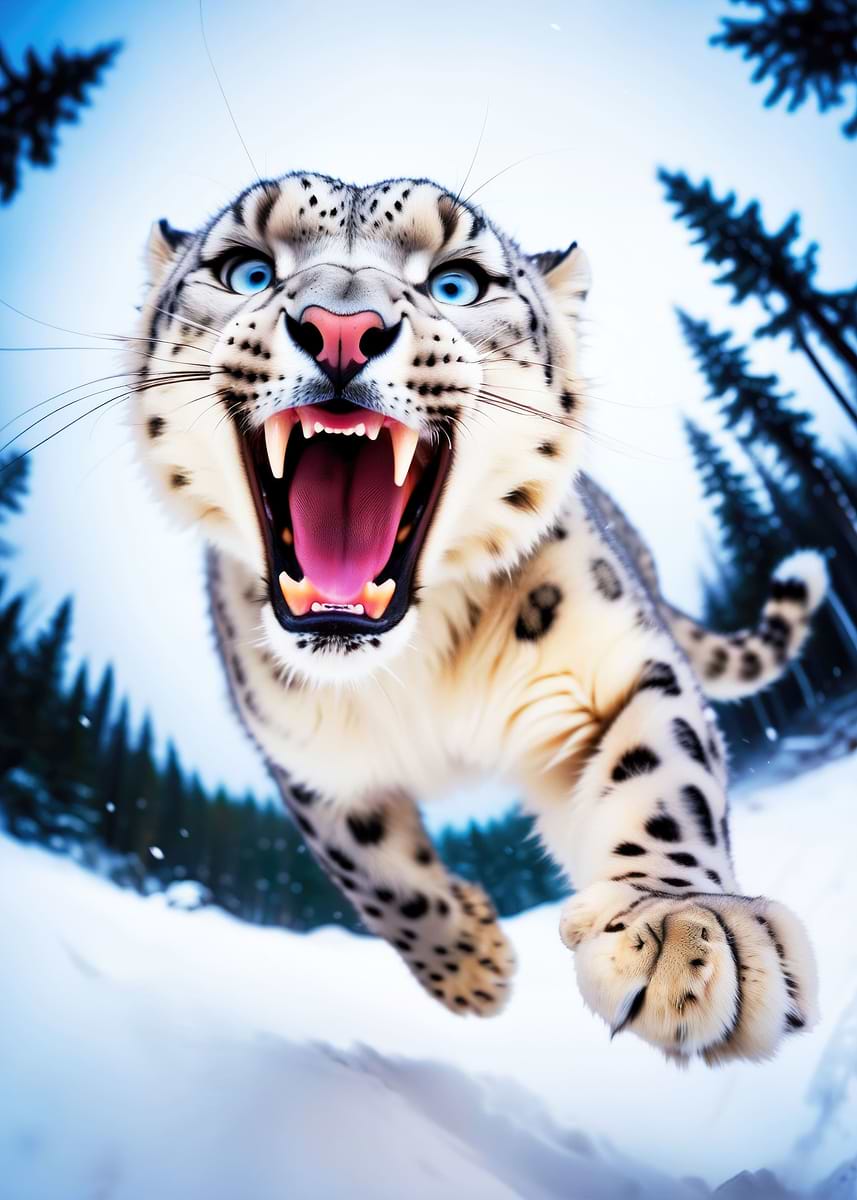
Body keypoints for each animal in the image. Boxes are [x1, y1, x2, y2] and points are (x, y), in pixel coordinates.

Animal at [131, 170, 827, 1064]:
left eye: (456, 282)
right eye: (248, 270)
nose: (341, 330)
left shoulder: (615, 669)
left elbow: (664, 781)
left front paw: (687, 938)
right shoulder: (305, 757)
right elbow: (372, 871)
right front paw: (472, 967)